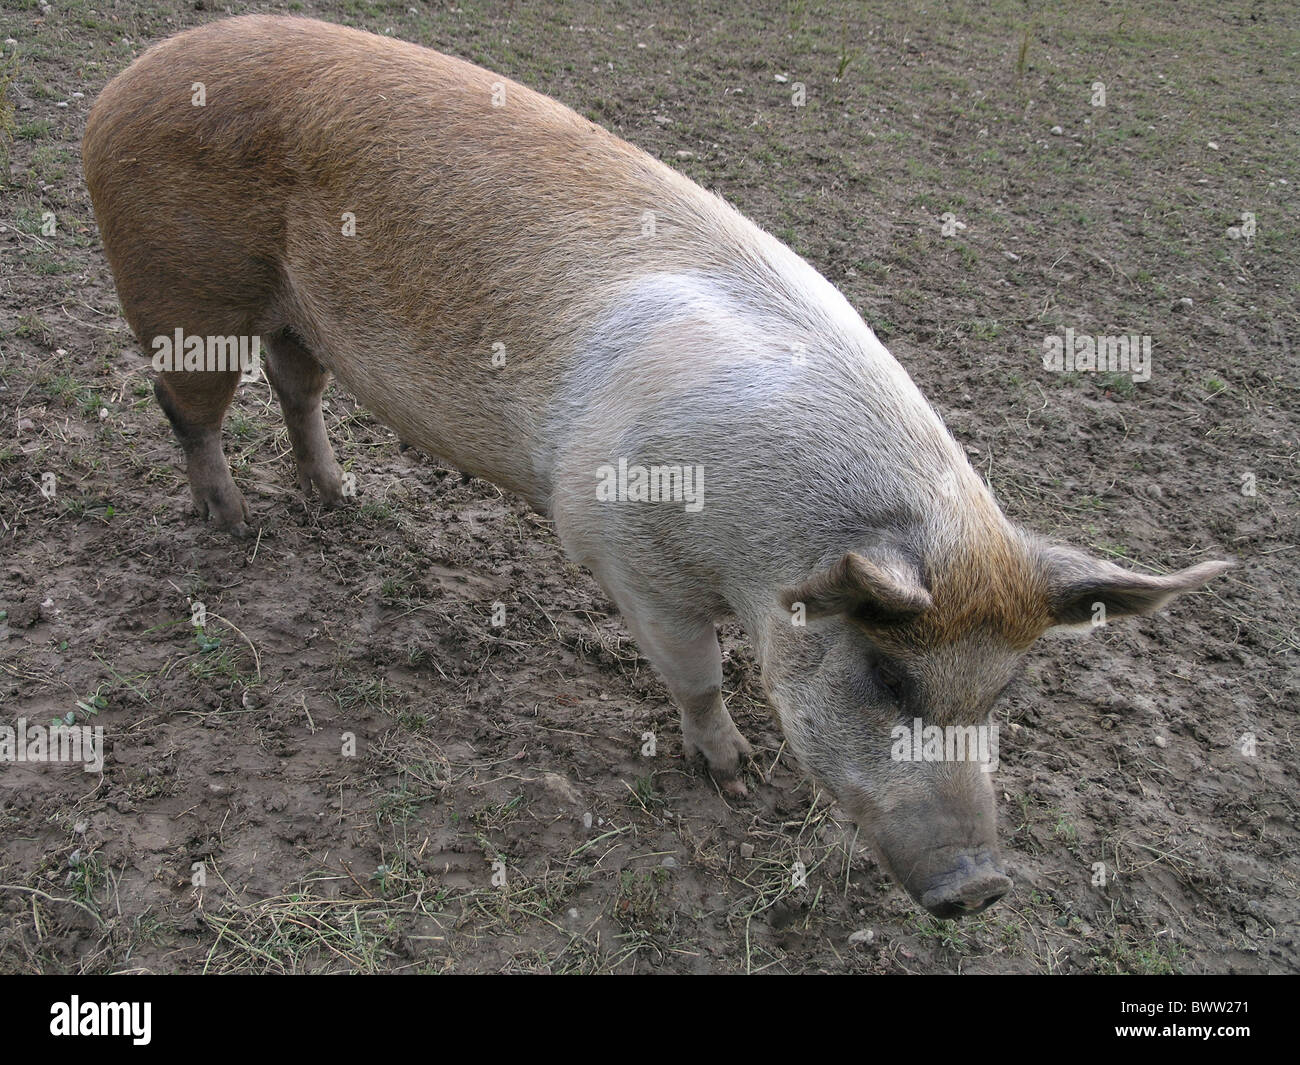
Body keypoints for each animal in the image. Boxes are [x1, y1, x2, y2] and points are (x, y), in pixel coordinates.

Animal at [82, 15, 1230, 918]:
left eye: (1005, 692)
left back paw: (340, 502)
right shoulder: (618, 548)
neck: (756, 566)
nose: (982, 887)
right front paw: (736, 782)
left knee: (296, 384)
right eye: (888, 675)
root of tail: (128, 75)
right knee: (186, 407)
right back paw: (234, 527)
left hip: (294, 311)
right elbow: (696, 676)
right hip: (180, 286)